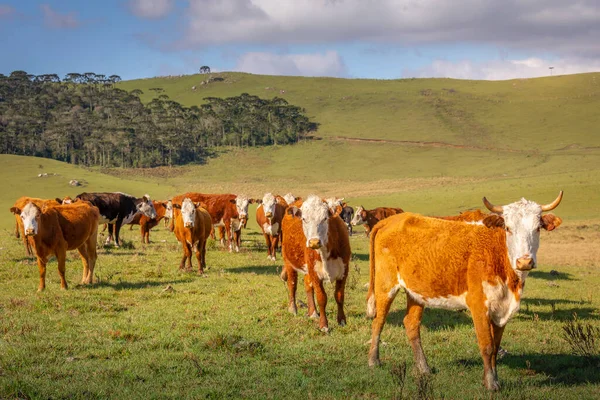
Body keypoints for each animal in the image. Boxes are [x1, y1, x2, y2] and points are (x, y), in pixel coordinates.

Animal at [282, 195, 352, 332]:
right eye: (304, 219)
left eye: (325, 218)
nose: (314, 242)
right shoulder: (315, 273)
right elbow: (321, 298)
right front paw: (324, 325)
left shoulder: (343, 271)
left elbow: (339, 296)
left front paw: (342, 320)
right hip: (289, 261)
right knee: (292, 284)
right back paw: (293, 308)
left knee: (308, 286)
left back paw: (313, 312)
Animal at [366, 191, 564, 390]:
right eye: (508, 228)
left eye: (537, 228)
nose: (524, 261)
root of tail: (391, 220)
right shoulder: (478, 305)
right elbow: (487, 345)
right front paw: (491, 384)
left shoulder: (502, 308)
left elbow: (496, 346)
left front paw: (492, 378)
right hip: (385, 284)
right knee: (378, 321)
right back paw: (374, 360)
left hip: (416, 291)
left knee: (411, 324)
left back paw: (423, 368)